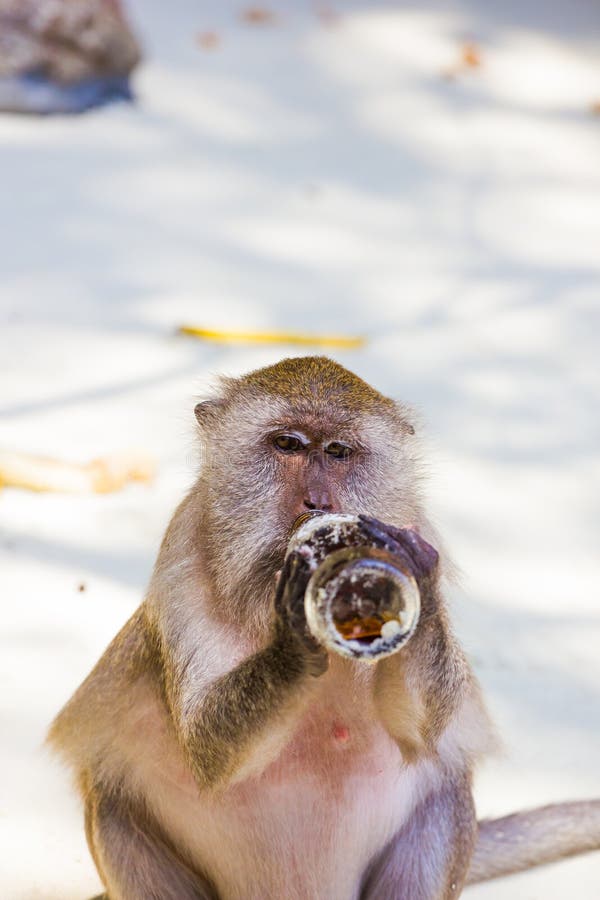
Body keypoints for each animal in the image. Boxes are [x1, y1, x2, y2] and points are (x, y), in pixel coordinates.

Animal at [47, 356, 600, 900]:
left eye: (337, 452)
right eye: (287, 445)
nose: (316, 503)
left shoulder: (418, 530)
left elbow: (420, 731)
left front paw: (410, 577)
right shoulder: (181, 554)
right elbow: (207, 750)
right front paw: (296, 631)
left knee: (445, 793)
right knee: (114, 803)